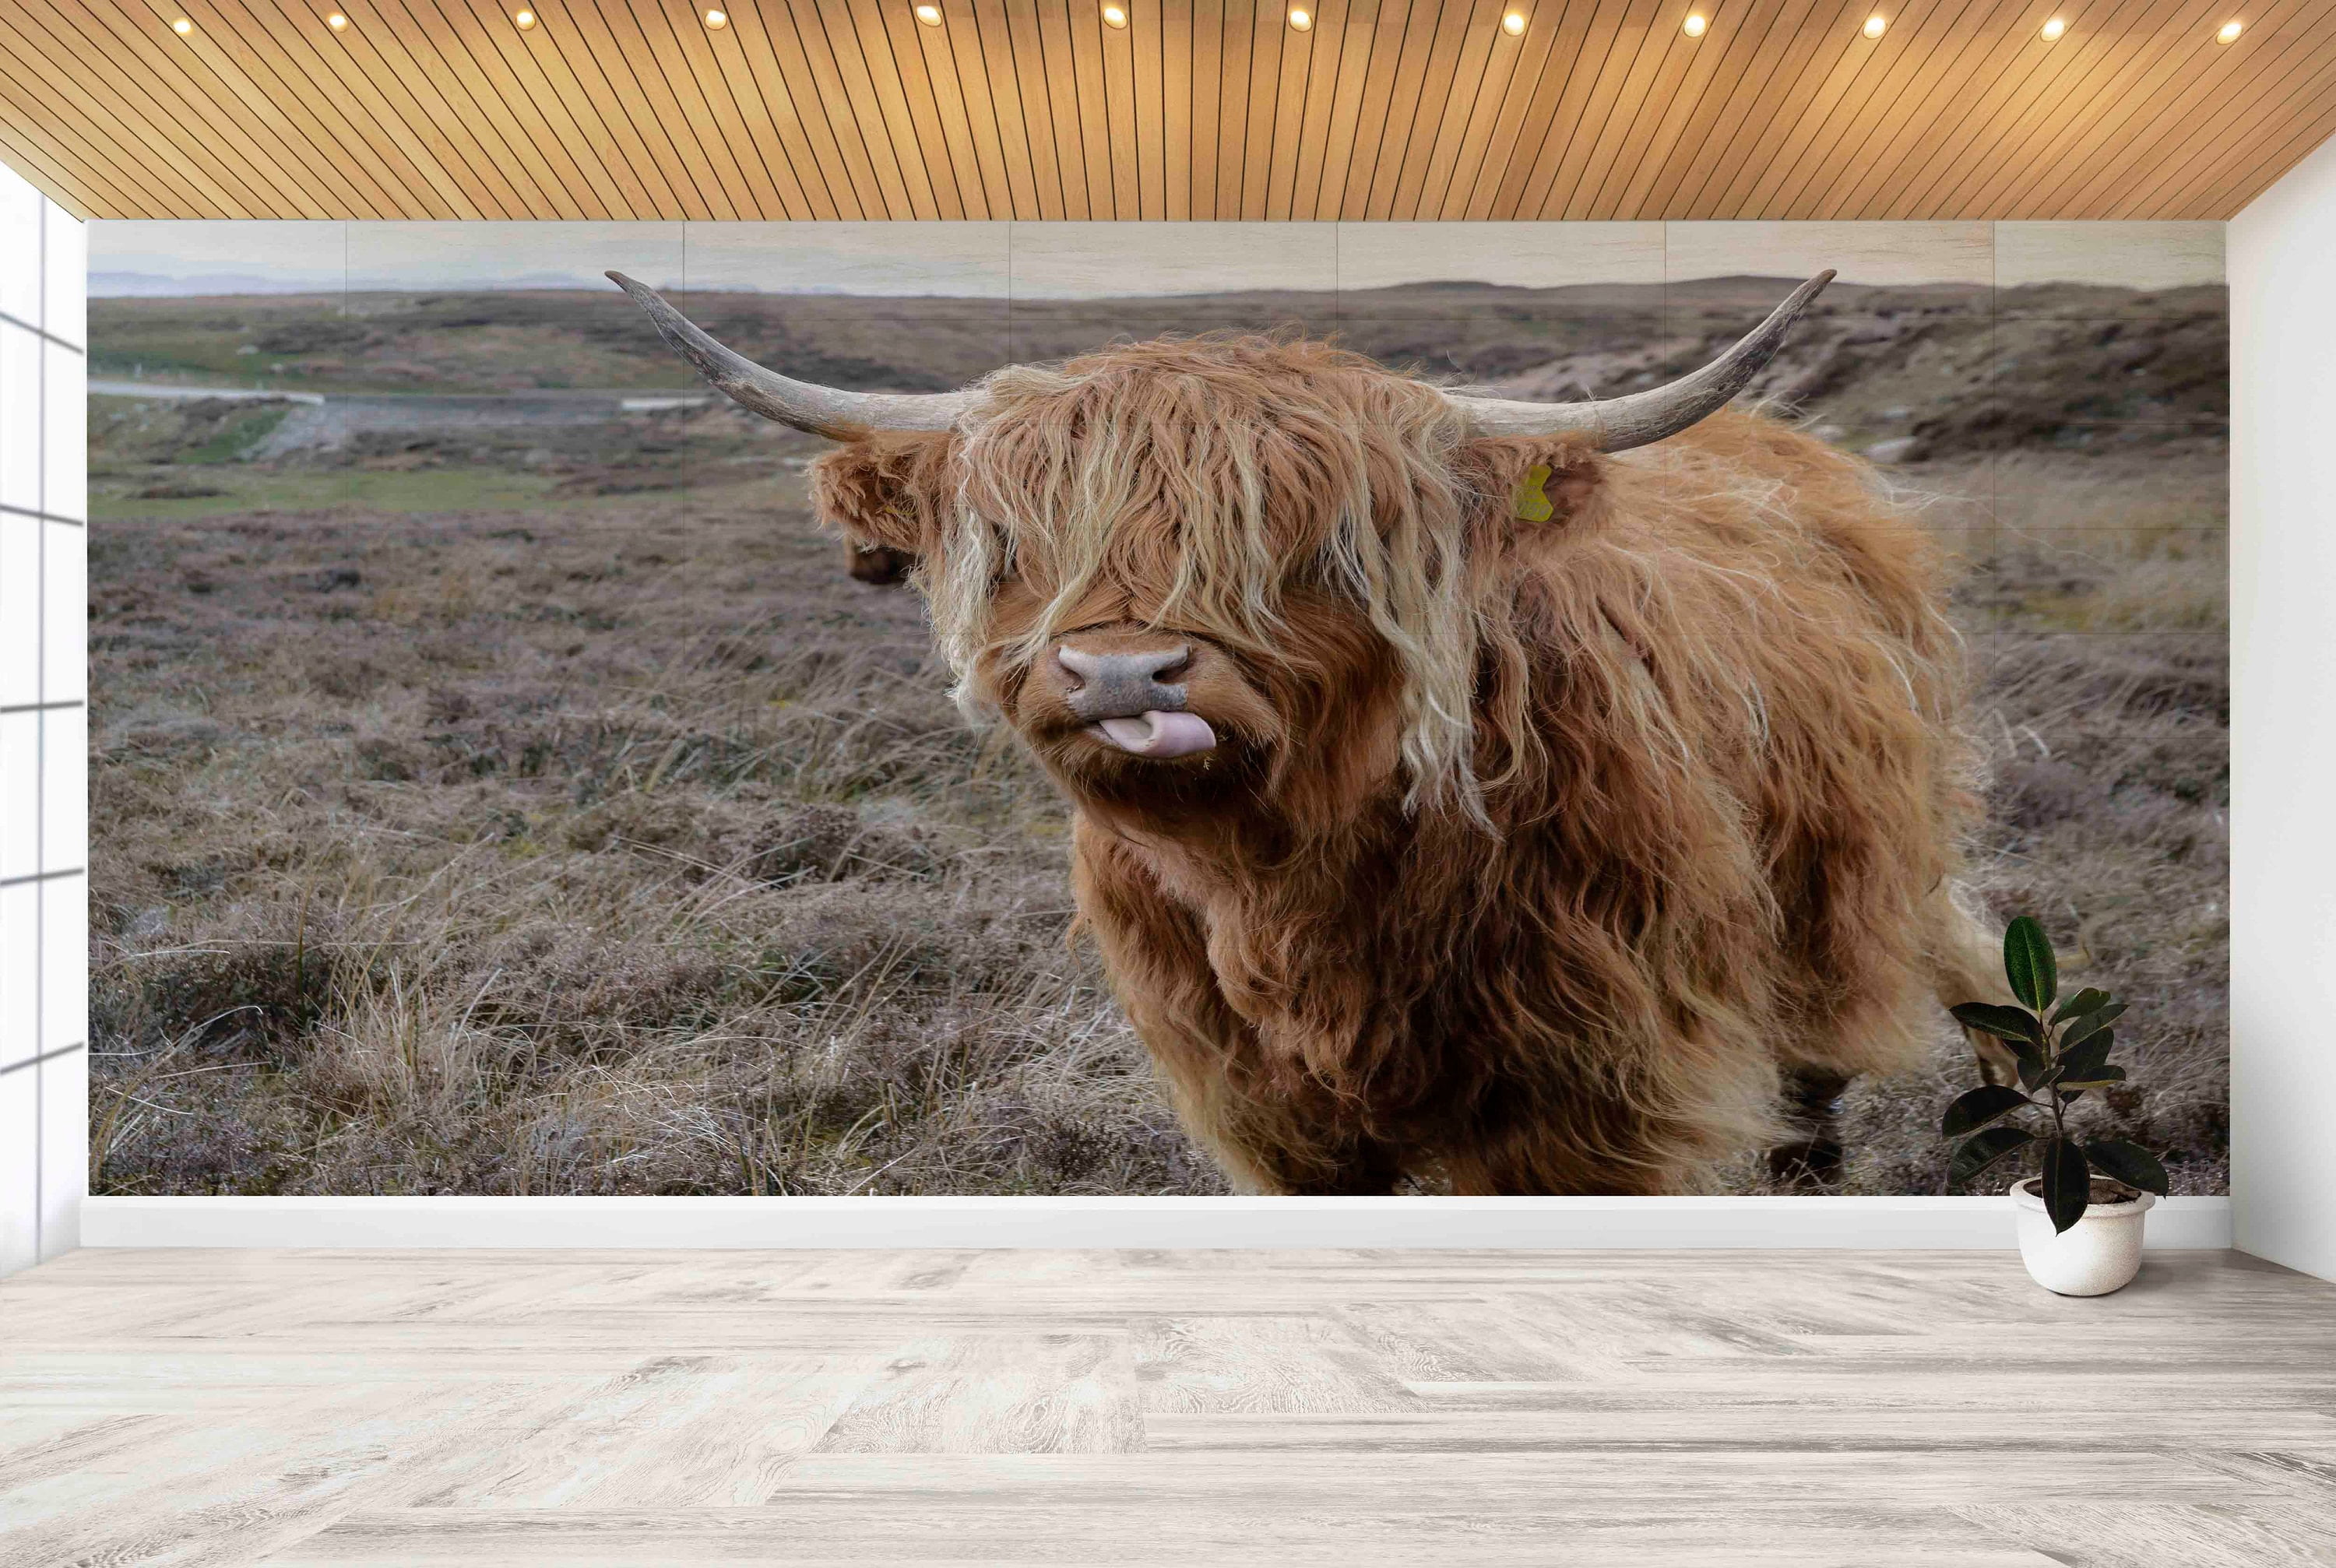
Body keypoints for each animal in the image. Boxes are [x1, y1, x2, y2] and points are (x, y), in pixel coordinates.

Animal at [609, 269, 2006, 1196]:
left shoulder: (1598, 1098)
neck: (1292, 889)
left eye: (1312, 548)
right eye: (1016, 544)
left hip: (1860, 872)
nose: (1121, 670)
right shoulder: (1264, 1109)